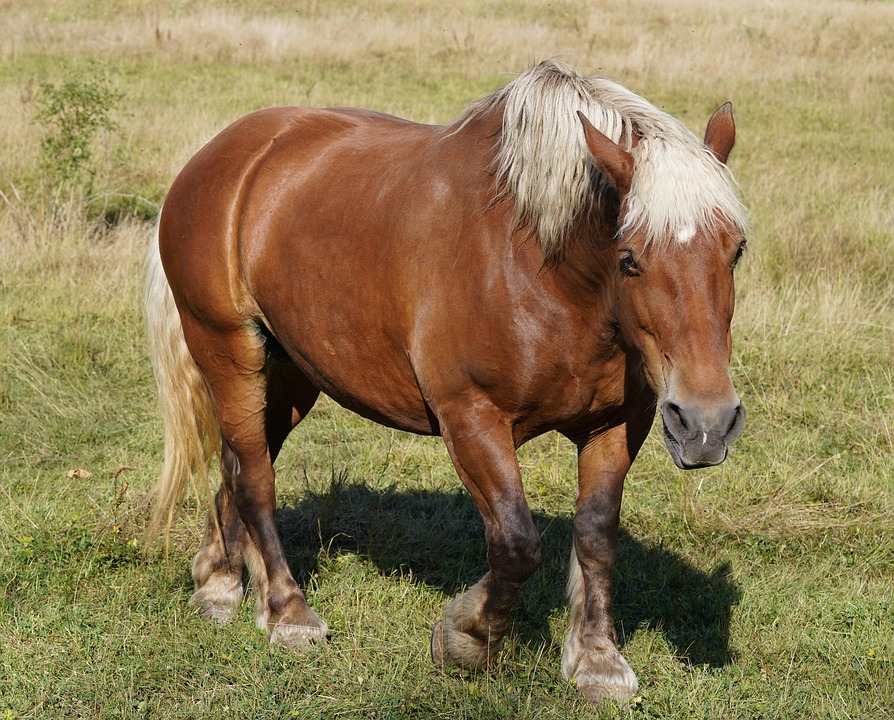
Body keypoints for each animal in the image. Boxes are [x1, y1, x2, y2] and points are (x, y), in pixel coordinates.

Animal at [145, 58, 748, 705]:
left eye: (736, 249)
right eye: (630, 257)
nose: (708, 425)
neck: (539, 269)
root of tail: (223, 155)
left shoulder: (615, 424)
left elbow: (595, 534)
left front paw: (597, 659)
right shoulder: (472, 419)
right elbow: (516, 543)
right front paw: (466, 637)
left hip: (287, 374)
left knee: (238, 462)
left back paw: (223, 584)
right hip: (227, 351)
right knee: (255, 477)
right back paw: (287, 612)